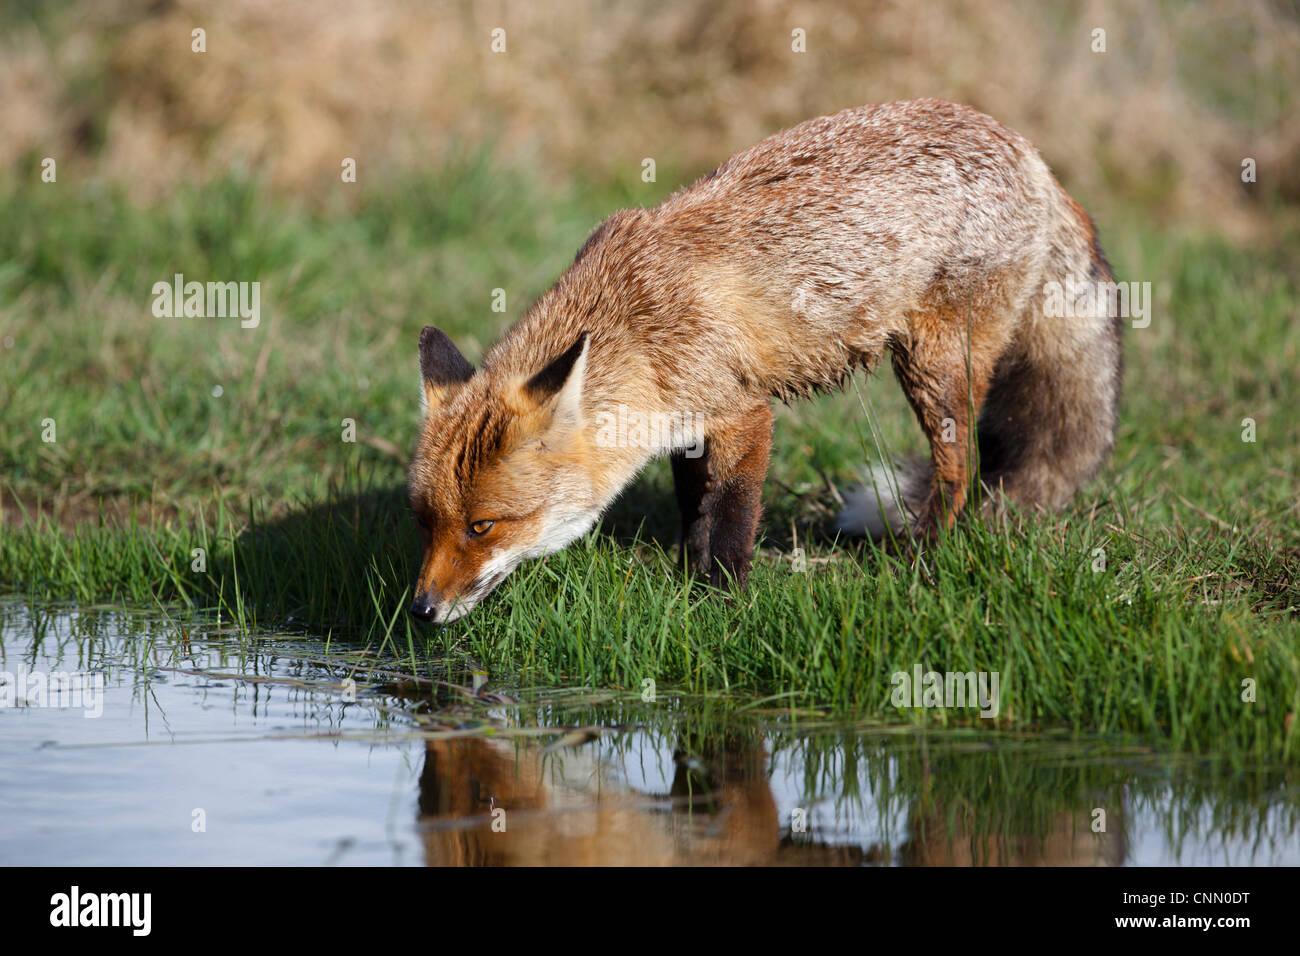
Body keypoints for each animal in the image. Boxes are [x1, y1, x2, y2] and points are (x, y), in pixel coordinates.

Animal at [407, 98, 1122, 624]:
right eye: (426, 523)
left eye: (482, 526)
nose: (420, 611)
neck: (636, 326)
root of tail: (1034, 157)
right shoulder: (687, 425)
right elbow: (694, 514)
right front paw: (686, 582)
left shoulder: (743, 415)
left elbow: (728, 521)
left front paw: (719, 603)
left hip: (933, 366)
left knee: (959, 471)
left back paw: (920, 563)